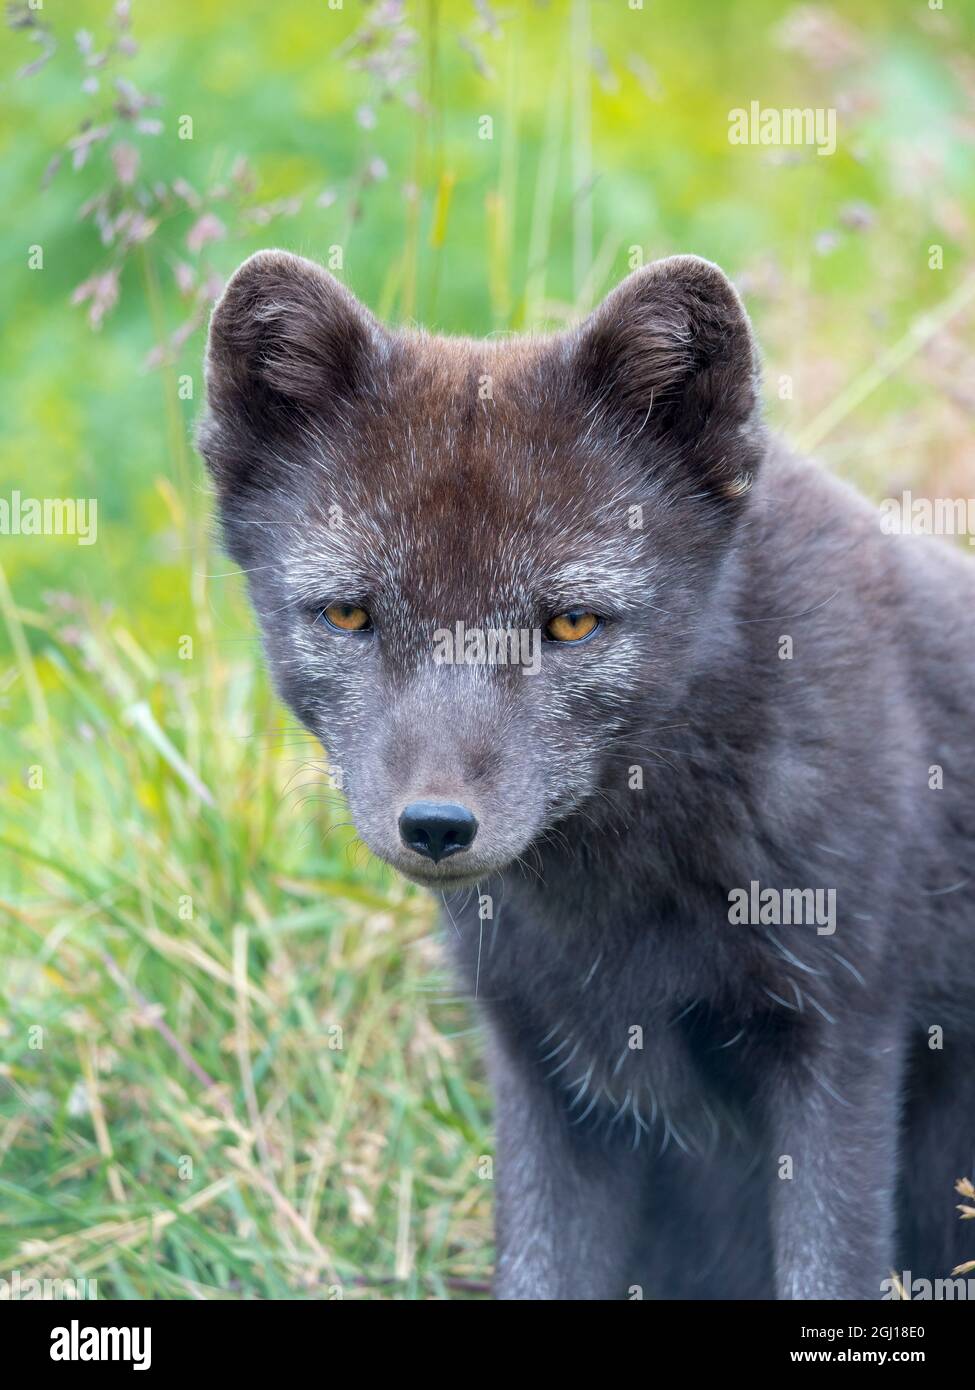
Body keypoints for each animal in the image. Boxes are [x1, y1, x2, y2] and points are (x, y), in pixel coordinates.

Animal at [199, 249, 975, 1300]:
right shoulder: (542, 1066)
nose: (436, 824)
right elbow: (537, 1270)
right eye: (348, 615)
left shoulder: (841, 1041)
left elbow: (830, 1267)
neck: (614, 903)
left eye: (570, 623)